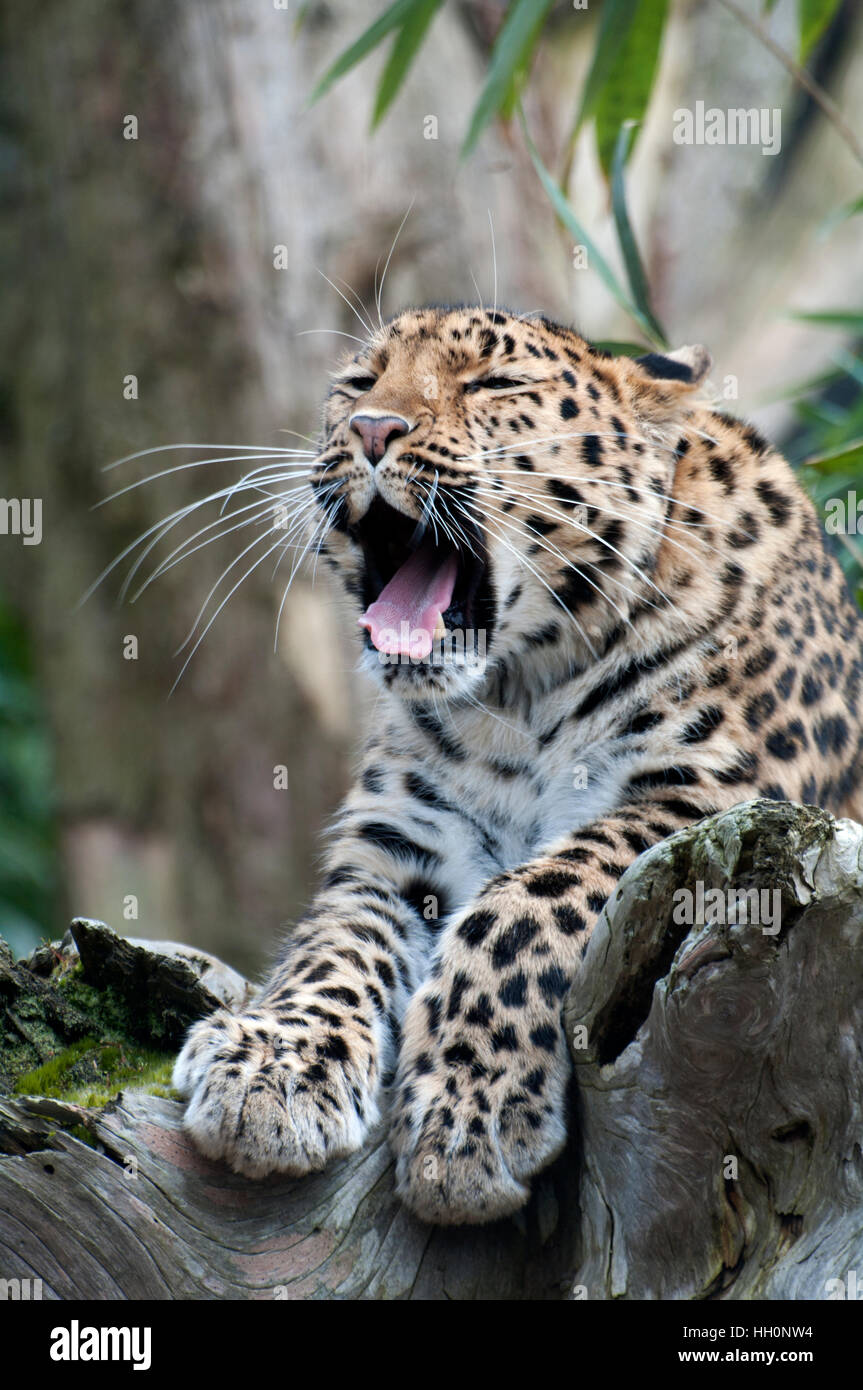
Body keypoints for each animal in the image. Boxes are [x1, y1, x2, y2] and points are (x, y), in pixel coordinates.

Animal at [173, 304, 863, 1225]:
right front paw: (271, 1067)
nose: (371, 428)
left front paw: (471, 1112)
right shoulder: (399, 846)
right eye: (357, 383)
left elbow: (528, 900)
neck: (516, 698)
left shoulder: (721, 807)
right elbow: (333, 942)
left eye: (490, 386)